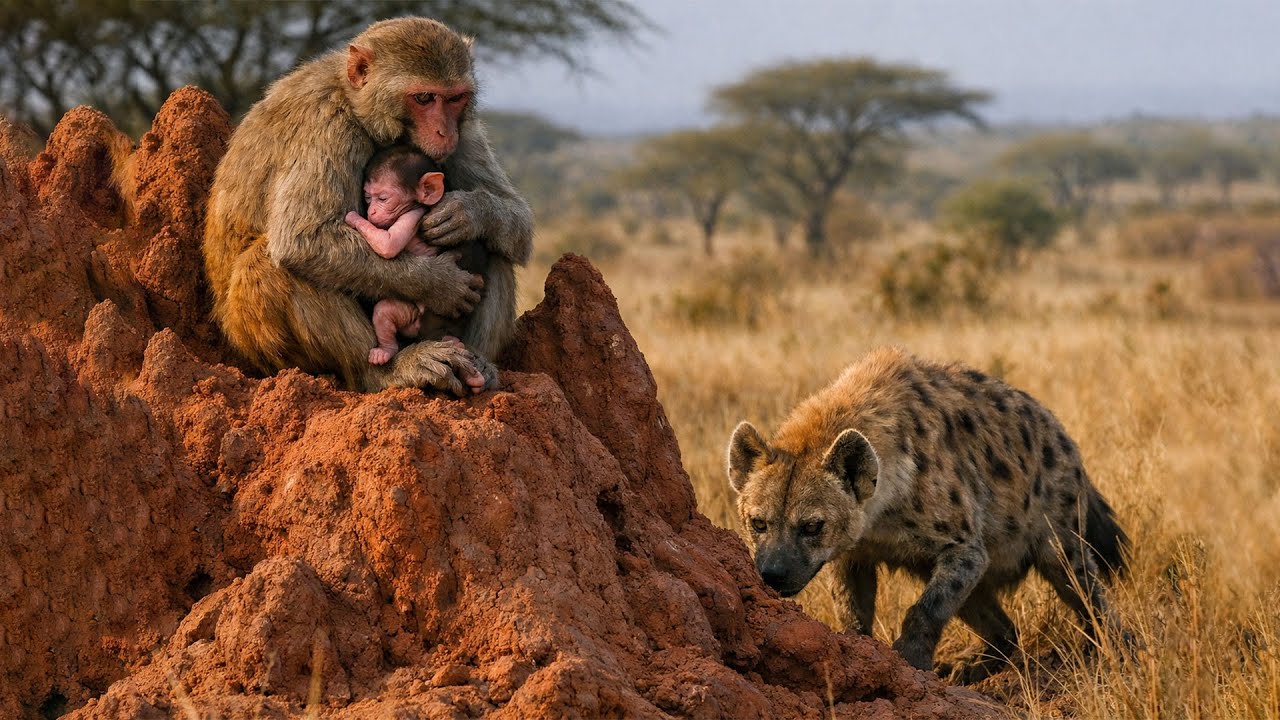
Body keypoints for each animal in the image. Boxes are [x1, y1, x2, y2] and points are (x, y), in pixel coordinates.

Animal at [203, 17, 533, 395]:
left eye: (454, 99)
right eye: (424, 98)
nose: (444, 132)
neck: (354, 103)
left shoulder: (466, 128)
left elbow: (517, 220)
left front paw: (467, 214)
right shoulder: (326, 123)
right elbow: (302, 241)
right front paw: (440, 284)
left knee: (497, 248)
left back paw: (478, 365)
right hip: (261, 347)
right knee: (271, 265)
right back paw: (386, 372)